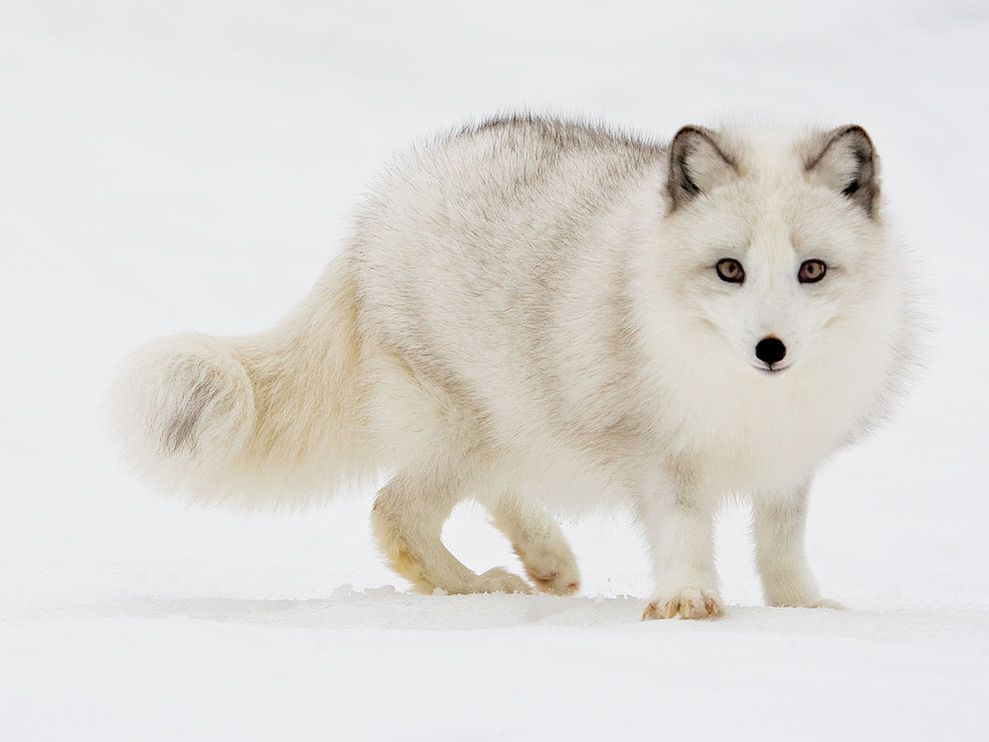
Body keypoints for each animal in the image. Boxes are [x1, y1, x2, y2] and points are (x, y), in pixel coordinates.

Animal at [110, 115, 914, 619]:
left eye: (811, 269)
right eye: (729, 269)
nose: (769, 350)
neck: (745, 397)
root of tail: (377, 211)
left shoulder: (788, 463)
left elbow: (781, 547)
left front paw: (802, 610)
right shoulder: (661, 455)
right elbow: (686, 533)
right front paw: (688, 601)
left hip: (508, 422)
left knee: (488, 492)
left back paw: (546, 560)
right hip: (464, 427)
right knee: (393, 515)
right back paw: (481, 589)